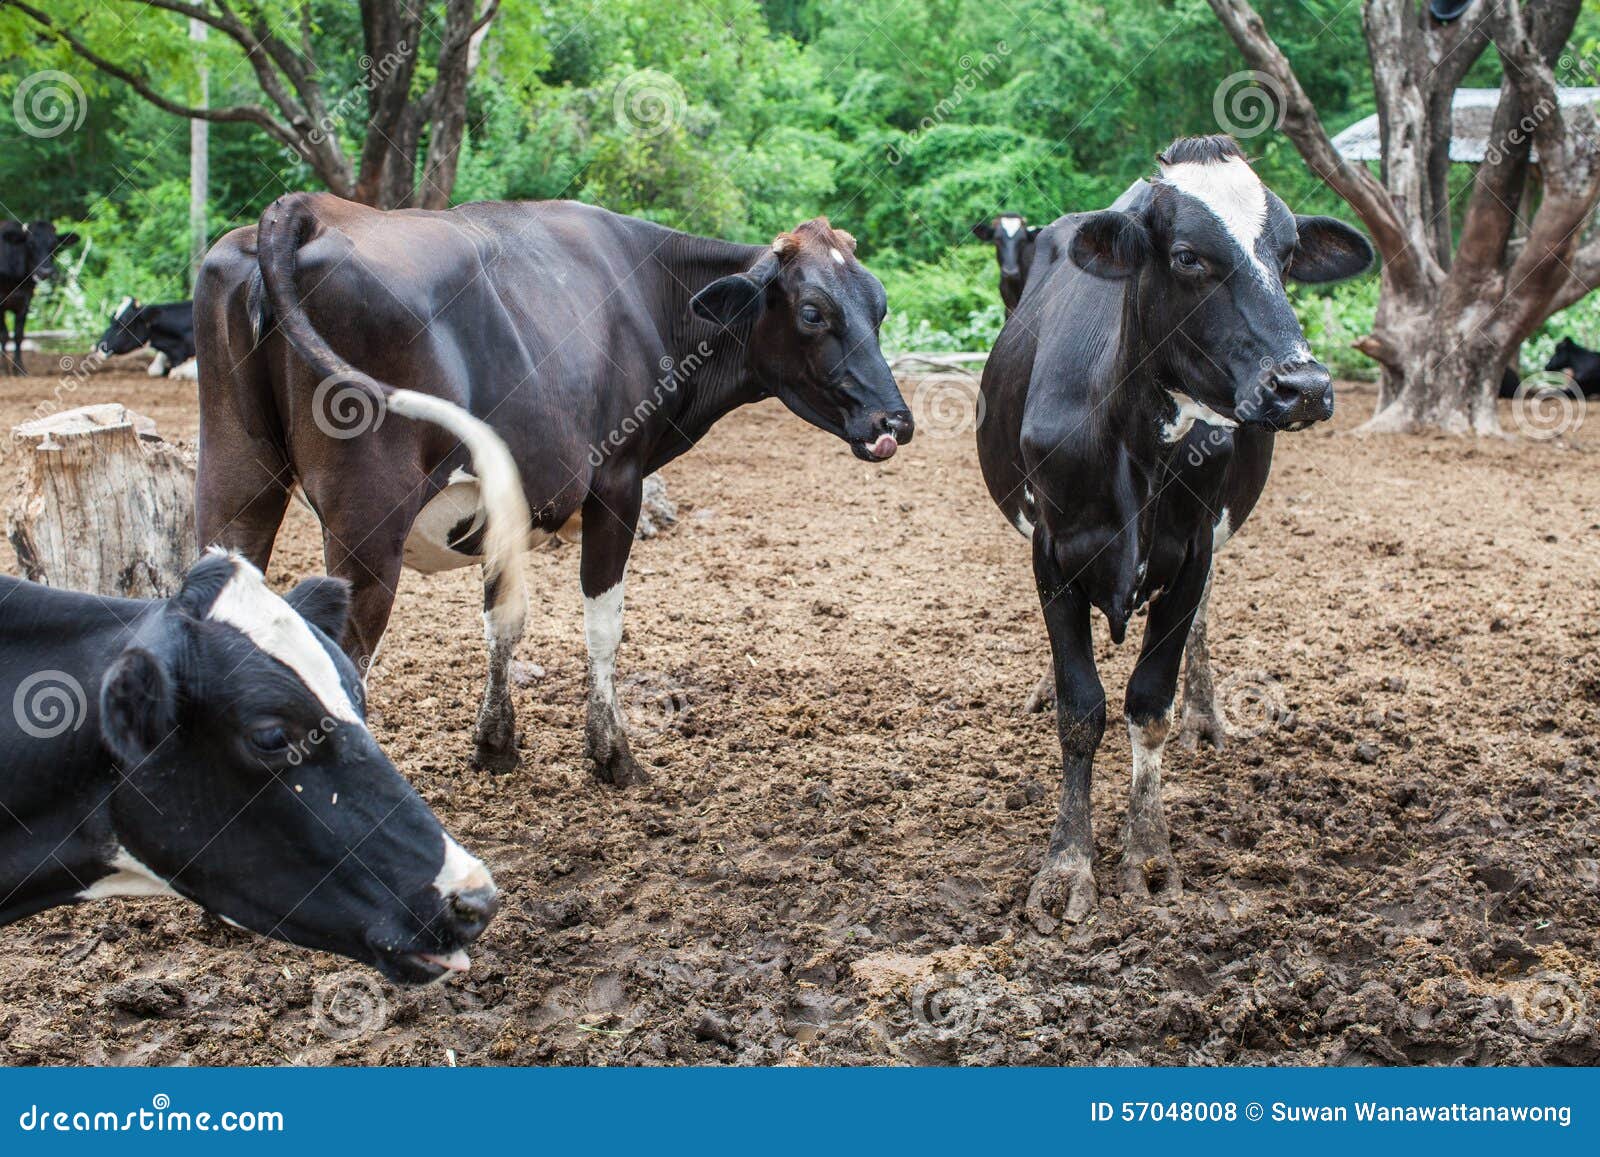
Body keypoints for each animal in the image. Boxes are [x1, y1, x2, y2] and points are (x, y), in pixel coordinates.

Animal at [0, 220, 79, 375]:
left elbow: (19, 335)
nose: (45, 272)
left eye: (54, 244)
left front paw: (19, 368)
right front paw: (5, 369)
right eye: (30, 244)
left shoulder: (25, 301)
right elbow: (4, 335)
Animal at [194, 193, 912, 786]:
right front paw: (612, 754)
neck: (653, 296)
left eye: (879, 306)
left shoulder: (503, 506)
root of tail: (307, 208)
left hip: (235, 481)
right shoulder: (617, 479)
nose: (894, 421)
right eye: (813, 312)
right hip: (366, 520)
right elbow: (603, 623)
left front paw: (495, 744)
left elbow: (503, 622)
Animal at [977, 136, 1372, 929]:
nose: (1305, 387)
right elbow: (1080, 708)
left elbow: (1148, 705)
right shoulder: (1052, 552)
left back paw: (1207, 714)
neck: (1133, 435)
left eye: (1289, 253)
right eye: (1188, 255)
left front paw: (1148, 855)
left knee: (1200, 630)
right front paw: (1067, 864)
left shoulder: (1191, 554)